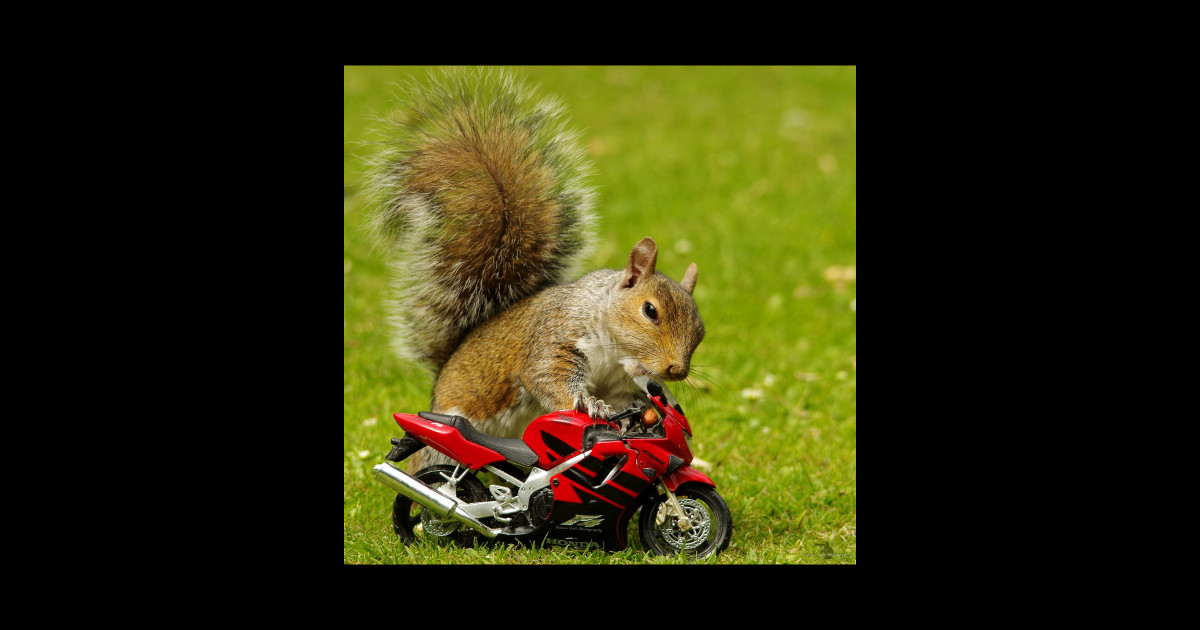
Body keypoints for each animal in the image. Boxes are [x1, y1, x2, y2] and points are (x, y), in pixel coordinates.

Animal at [365, 68, 705, 471]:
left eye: (700, 330)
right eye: (650, 310)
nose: (676, 370)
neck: (617, 355)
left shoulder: (623, 386)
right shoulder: (556, 336)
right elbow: (547, 376)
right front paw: (589, 405)